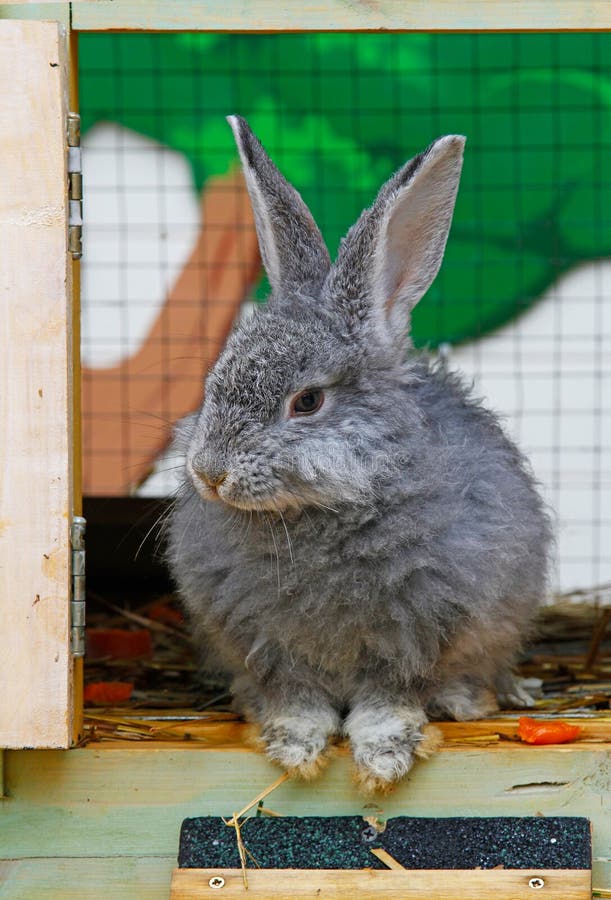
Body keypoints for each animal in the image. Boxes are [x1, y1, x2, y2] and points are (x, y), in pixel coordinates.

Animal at [166, 116, 552, 794]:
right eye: (215, 379)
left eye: (308, 401)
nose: (209, 473)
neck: (322, 513)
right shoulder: (267, 646)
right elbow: (296, 698)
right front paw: (297, 748)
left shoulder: (417, 635)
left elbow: (388, 699)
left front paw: (383, 758)